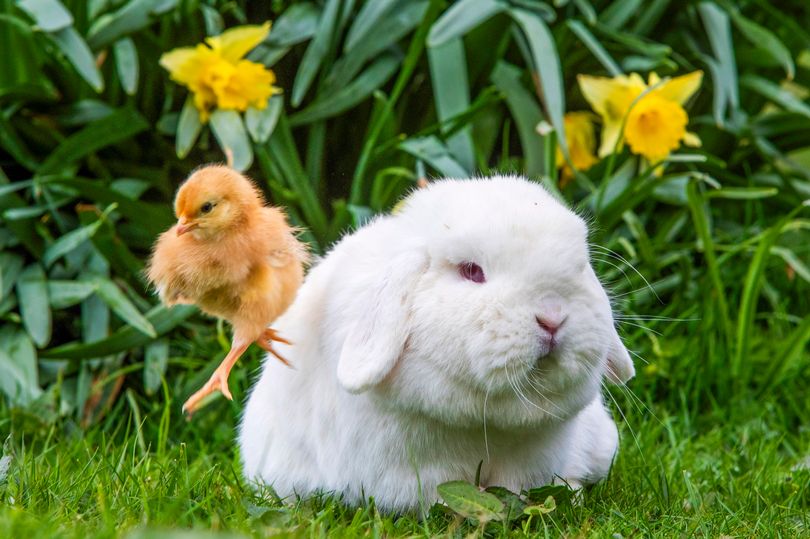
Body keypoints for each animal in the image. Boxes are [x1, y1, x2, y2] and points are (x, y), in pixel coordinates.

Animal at [238, 176, 635, 513]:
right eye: (472, 271)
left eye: (580, 268)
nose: (553, 318)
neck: (488, 422)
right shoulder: (412, 468)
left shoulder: (533, 461)